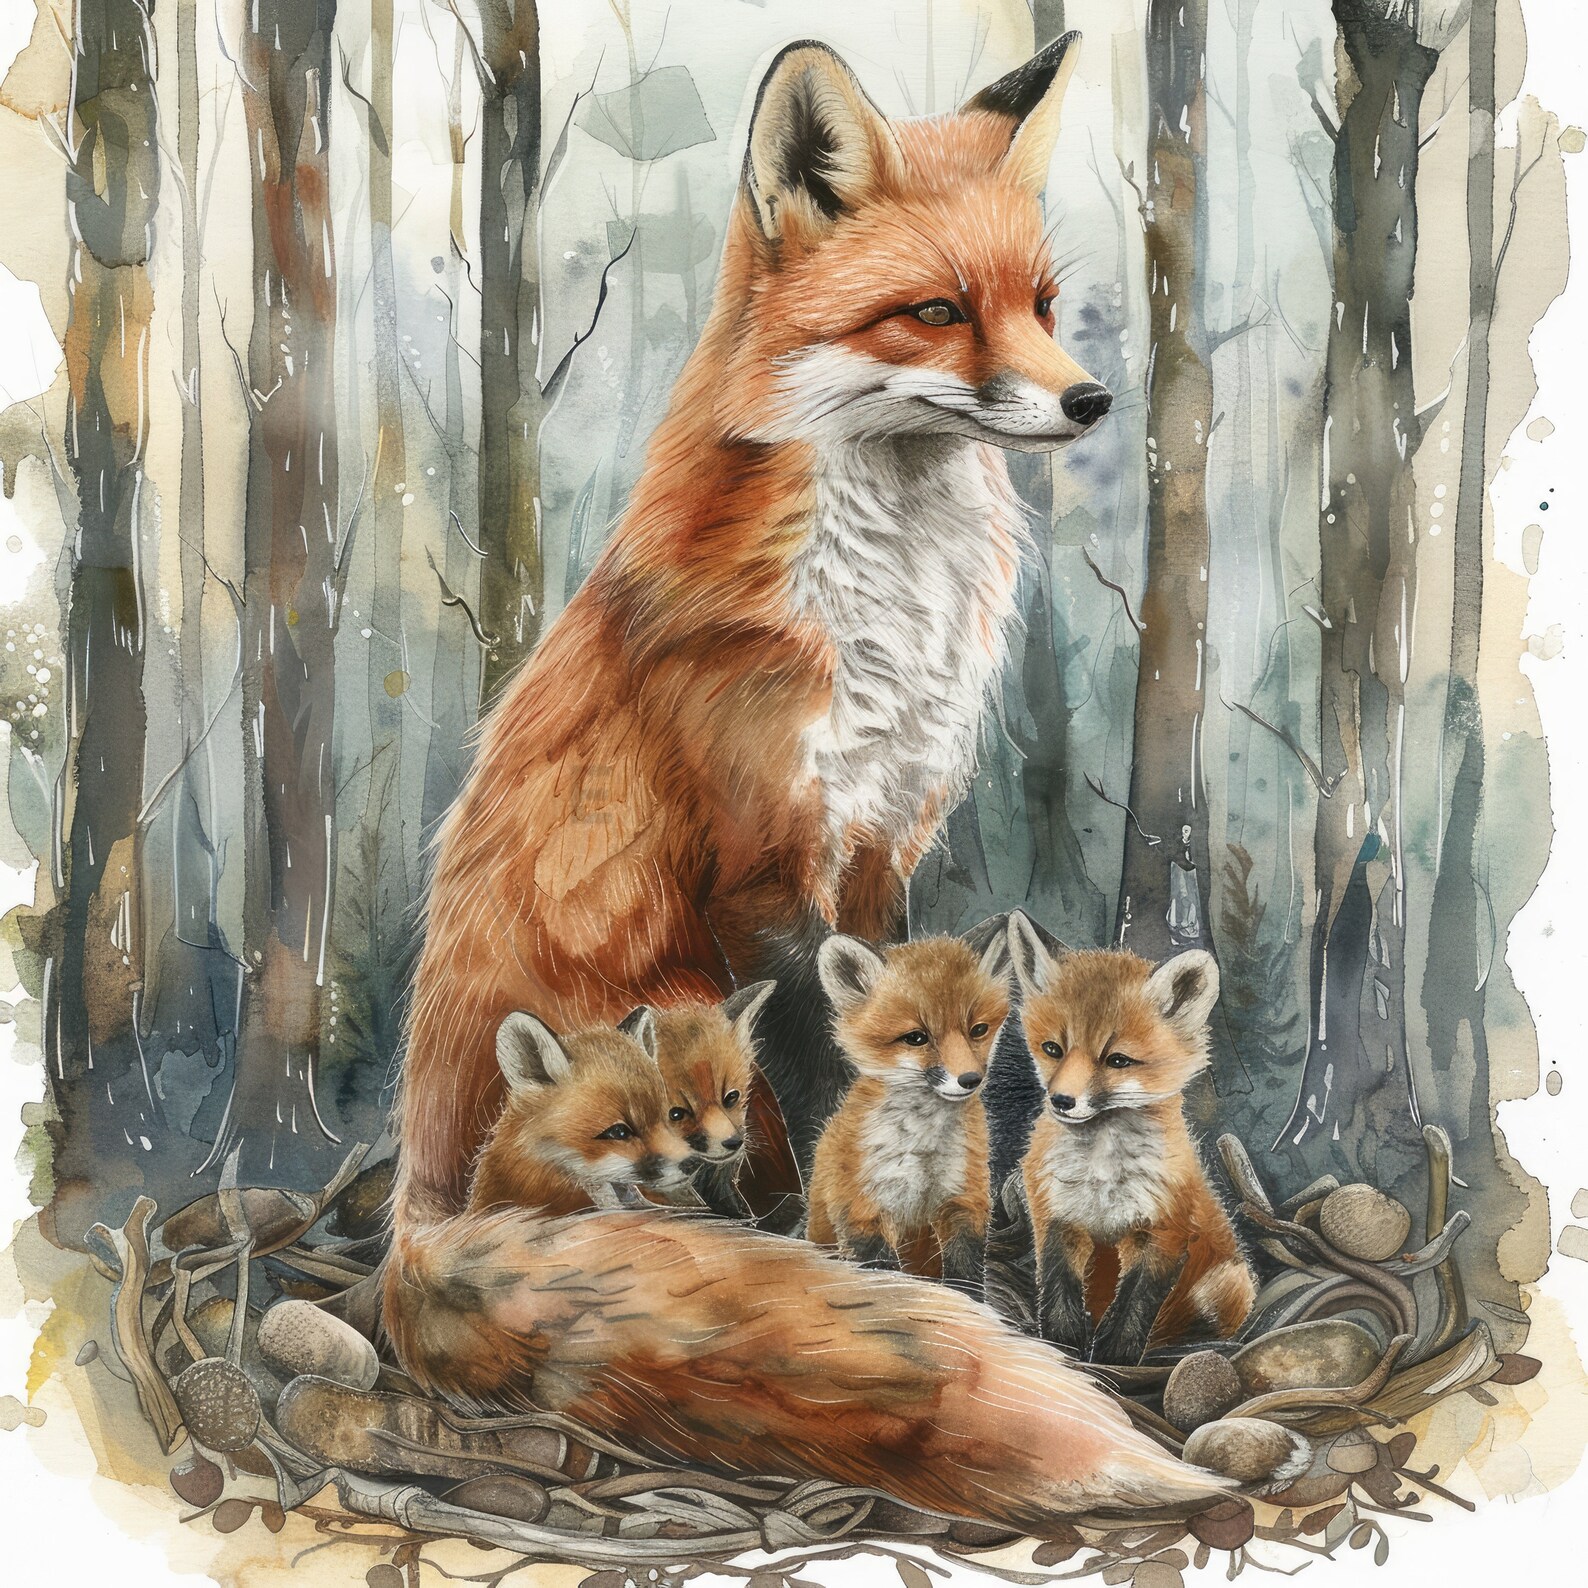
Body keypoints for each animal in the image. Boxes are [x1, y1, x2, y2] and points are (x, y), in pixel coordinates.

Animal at [805, 933, 1010, 1293]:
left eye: (977, 1030)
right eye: (916, 1038)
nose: (971, 1079)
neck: (923, 1146)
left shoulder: (963, 1198)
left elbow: (965, 1268)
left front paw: (970, 1301)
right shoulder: (861, 1205)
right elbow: (882, 1270)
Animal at [1005, 911, 1257, 1365]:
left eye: (1117, 1060)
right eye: (1053, 1049)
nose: (1061, 1101)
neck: (1102, 1173)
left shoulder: (1165, 1230)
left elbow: (1135, 1304)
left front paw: (1114, 1357)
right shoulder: (1056, 1219)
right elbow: (1059, 1294)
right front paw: (1063, 1348)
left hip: (1226, 1287)